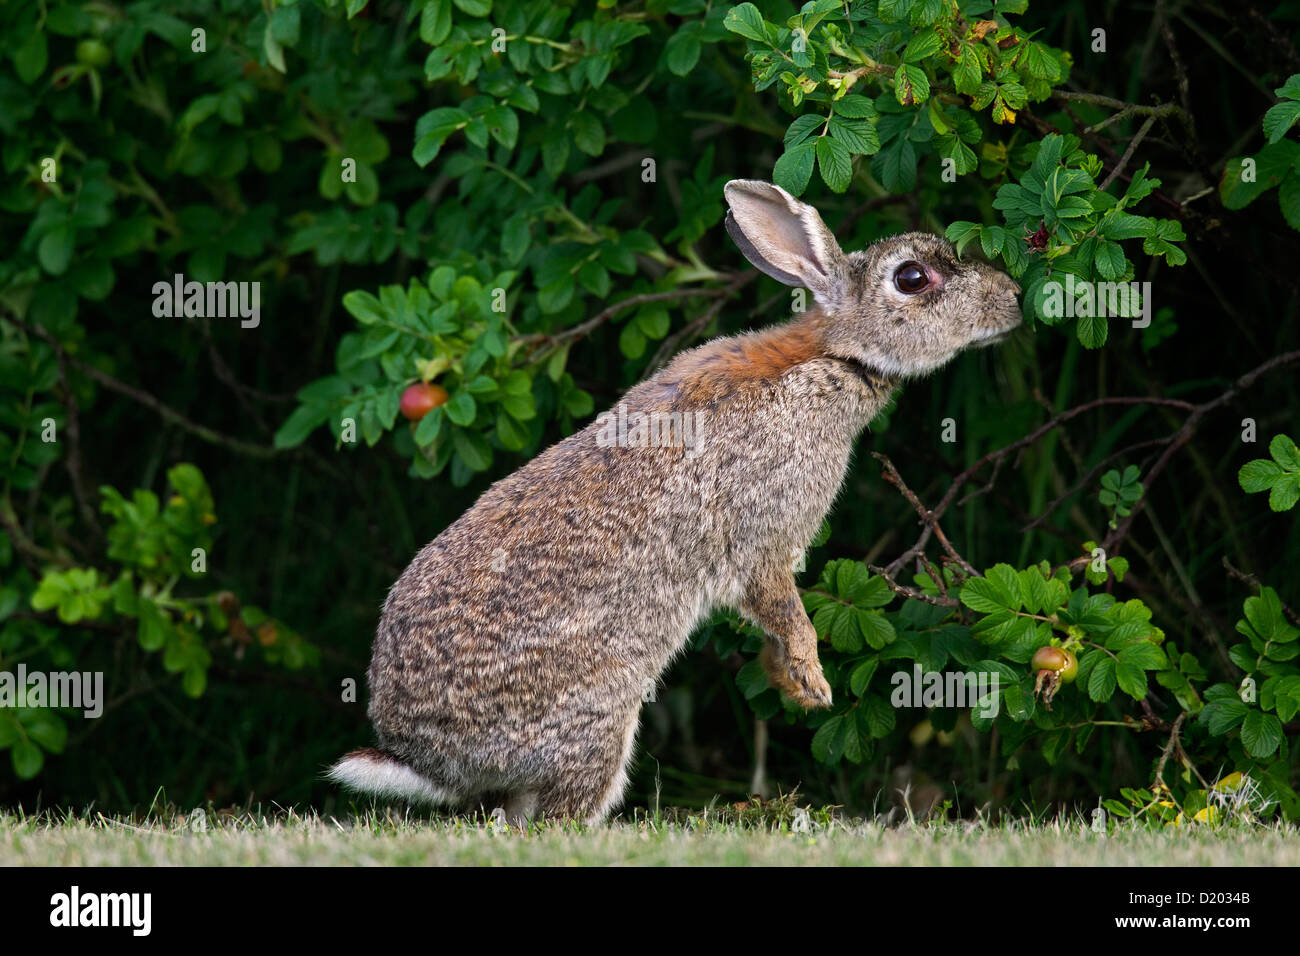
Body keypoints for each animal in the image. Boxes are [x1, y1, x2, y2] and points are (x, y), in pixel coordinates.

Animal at [328, 180, 1023, 825]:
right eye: (913, 278)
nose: (1015, 299)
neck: (836, 354)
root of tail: (424, 759)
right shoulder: (764, 535)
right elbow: (779, 604)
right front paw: (813, 685)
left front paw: (786, 681)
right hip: (596, 720)